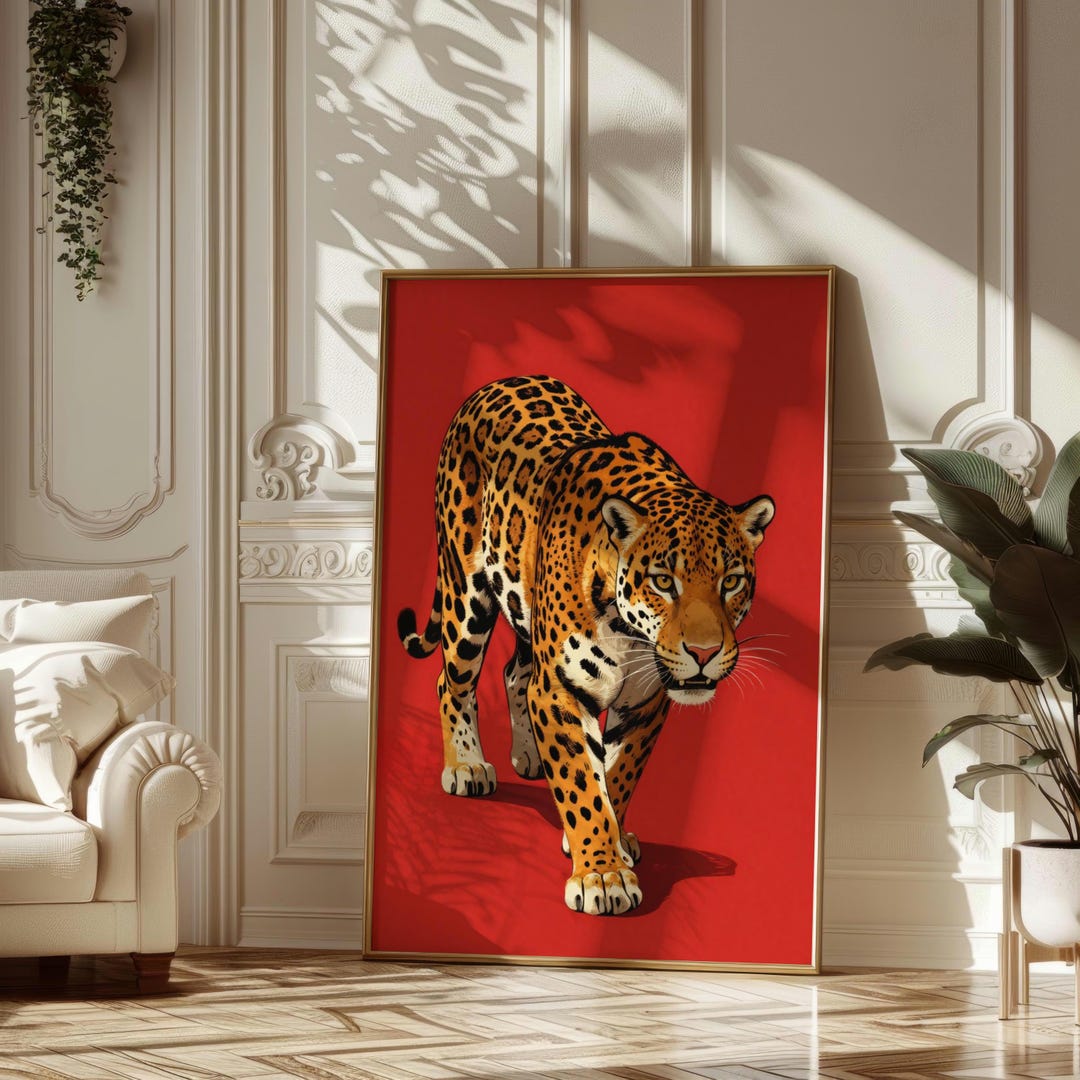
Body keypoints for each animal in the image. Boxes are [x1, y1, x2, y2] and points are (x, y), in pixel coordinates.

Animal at [397, 375, 775, 916]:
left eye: (732, 582)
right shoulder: (559, 691)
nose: (703, 654)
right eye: (663, 581)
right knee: (452, 682)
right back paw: (467, 766)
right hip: (464, 592)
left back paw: (528, 757)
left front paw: (612, 845)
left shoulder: (647, 701)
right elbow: (582, 781)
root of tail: (495, 384)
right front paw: (602, 876)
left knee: (514, 672)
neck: (628, 631)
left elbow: (618, 773)